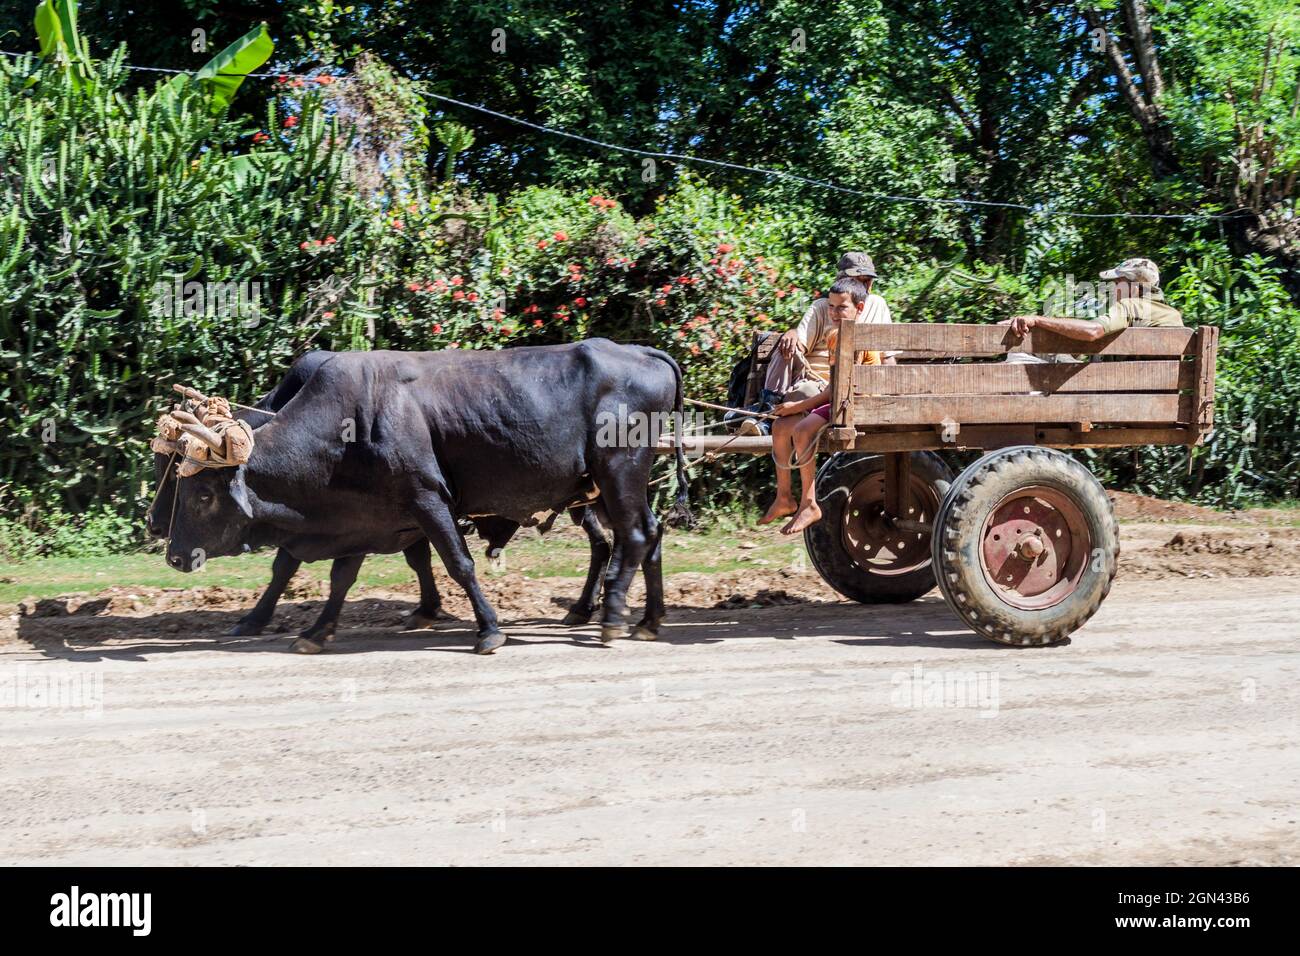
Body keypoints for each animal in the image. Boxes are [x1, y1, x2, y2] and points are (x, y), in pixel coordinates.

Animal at [161, 339, 690, 654]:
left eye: (203, 495)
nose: (173, 555)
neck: (353, 419)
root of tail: (642, 352)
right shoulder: (363, 517)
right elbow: (340, 577)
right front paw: (316, 631)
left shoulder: (428, 500)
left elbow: (458, 564)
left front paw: (488, 630)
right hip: (609, 487)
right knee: (648, 536)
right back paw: (646, 619)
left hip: (619, 472)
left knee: (633, 537)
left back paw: (612, 616)